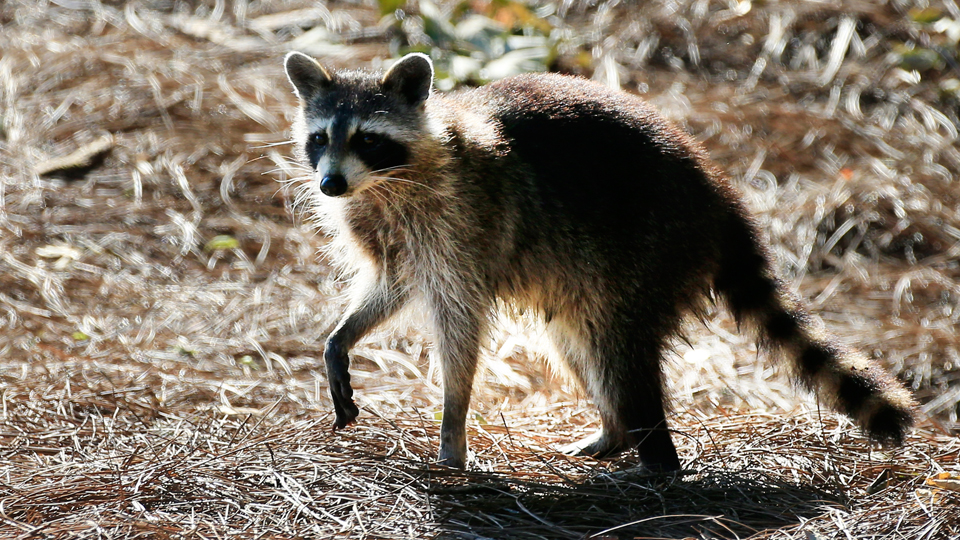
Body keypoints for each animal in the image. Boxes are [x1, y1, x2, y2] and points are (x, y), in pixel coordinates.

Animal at [282, 51, 916, 471]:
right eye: (320, 138)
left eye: (368, 139)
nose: (330, 184)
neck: (383, 184)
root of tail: (719, 198)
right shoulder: (389, 232)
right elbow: (391, 285)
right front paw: (341, 337)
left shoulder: (461, 226)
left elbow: (459, 328)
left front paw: (453, 423)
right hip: (584, 278)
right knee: (577, 342)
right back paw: (615, 433)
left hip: (649, 250)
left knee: (620, 352)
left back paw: (657, 458)